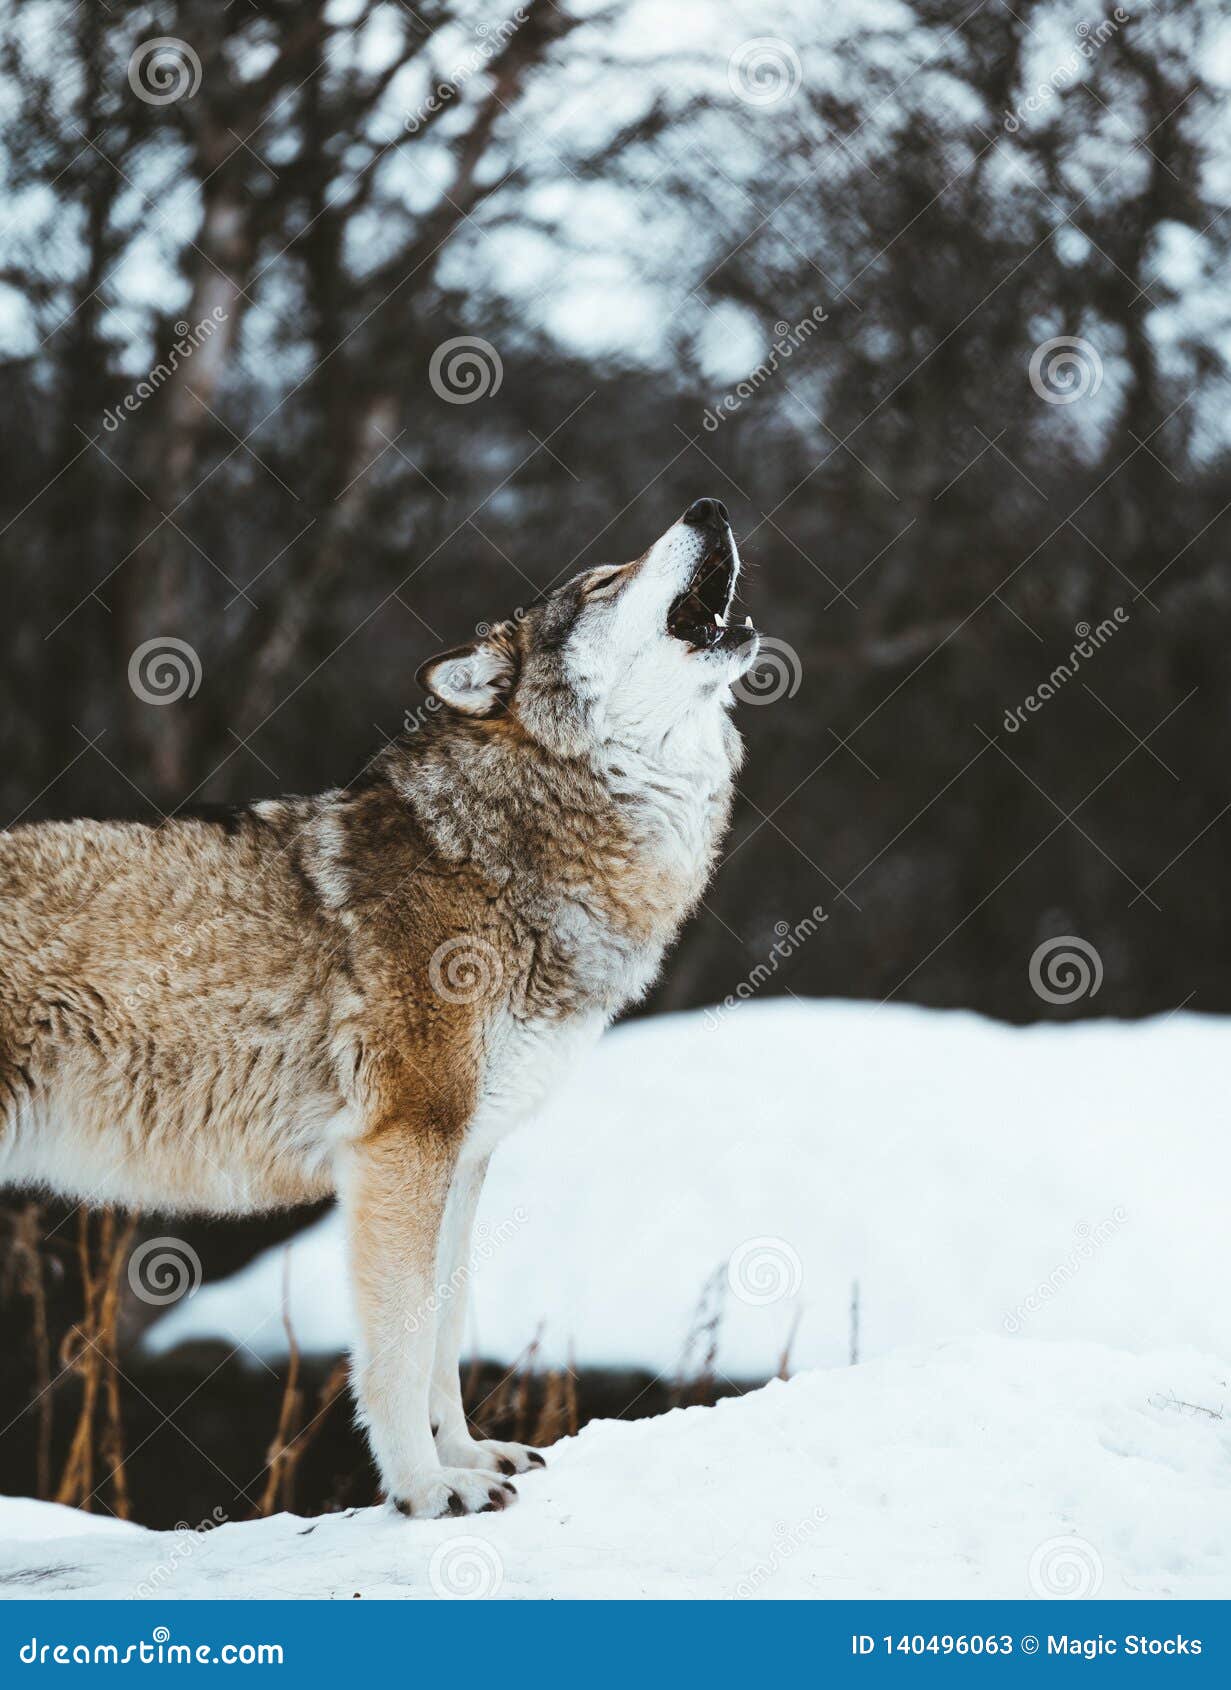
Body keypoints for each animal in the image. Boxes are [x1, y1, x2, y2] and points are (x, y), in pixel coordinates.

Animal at [0, 498, 758, 1517]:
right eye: (604, 580)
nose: (708, 508)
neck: (503, 851)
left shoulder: (464, 1160)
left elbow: (445, 1330)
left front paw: (470, 1456)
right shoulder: (402, 1149)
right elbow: (397, 1349)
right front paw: (427, 1491)